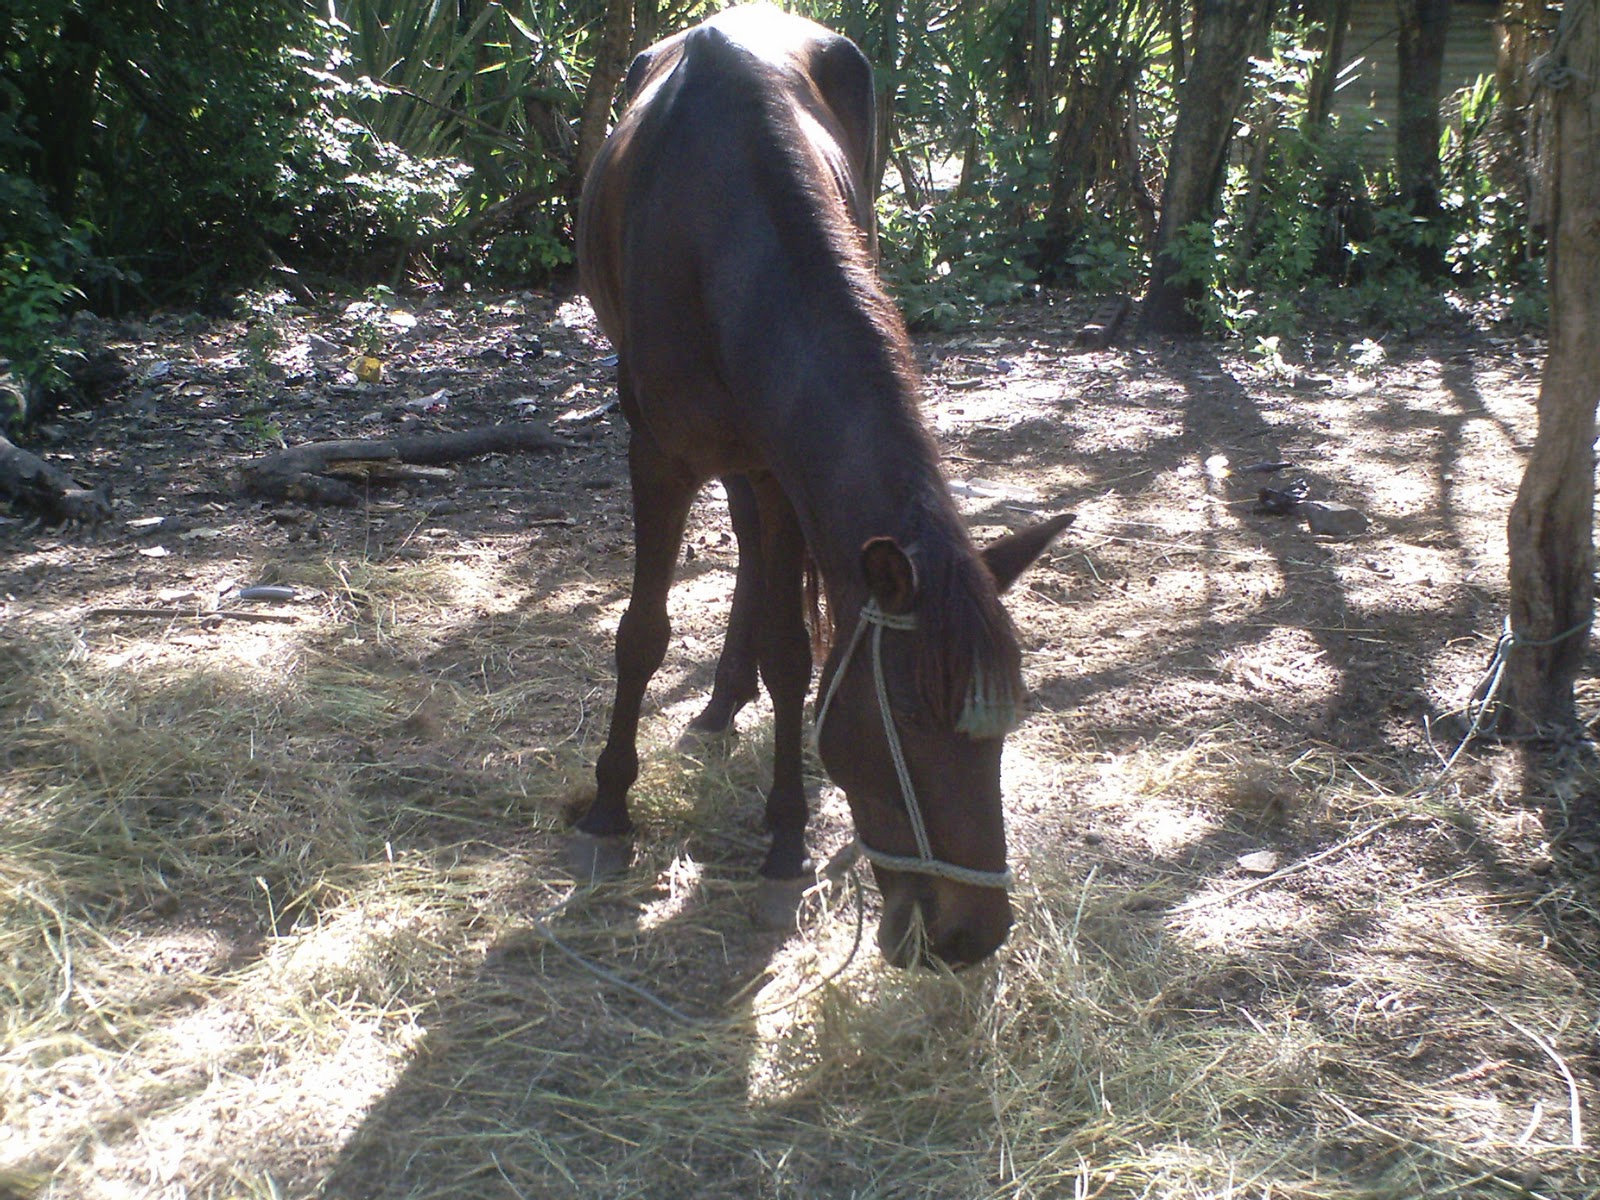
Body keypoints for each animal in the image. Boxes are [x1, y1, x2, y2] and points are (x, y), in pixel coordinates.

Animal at [573, 5, 1071, 967]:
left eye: (1004, 721)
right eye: (910, 720)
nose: (972, 936)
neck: (723, 229)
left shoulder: (780, 465)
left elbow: (794, 654)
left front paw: (785, 843)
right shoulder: (657, 454)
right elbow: (641, 634)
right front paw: (611, 811)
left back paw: (732, 697)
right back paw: (718, 703)